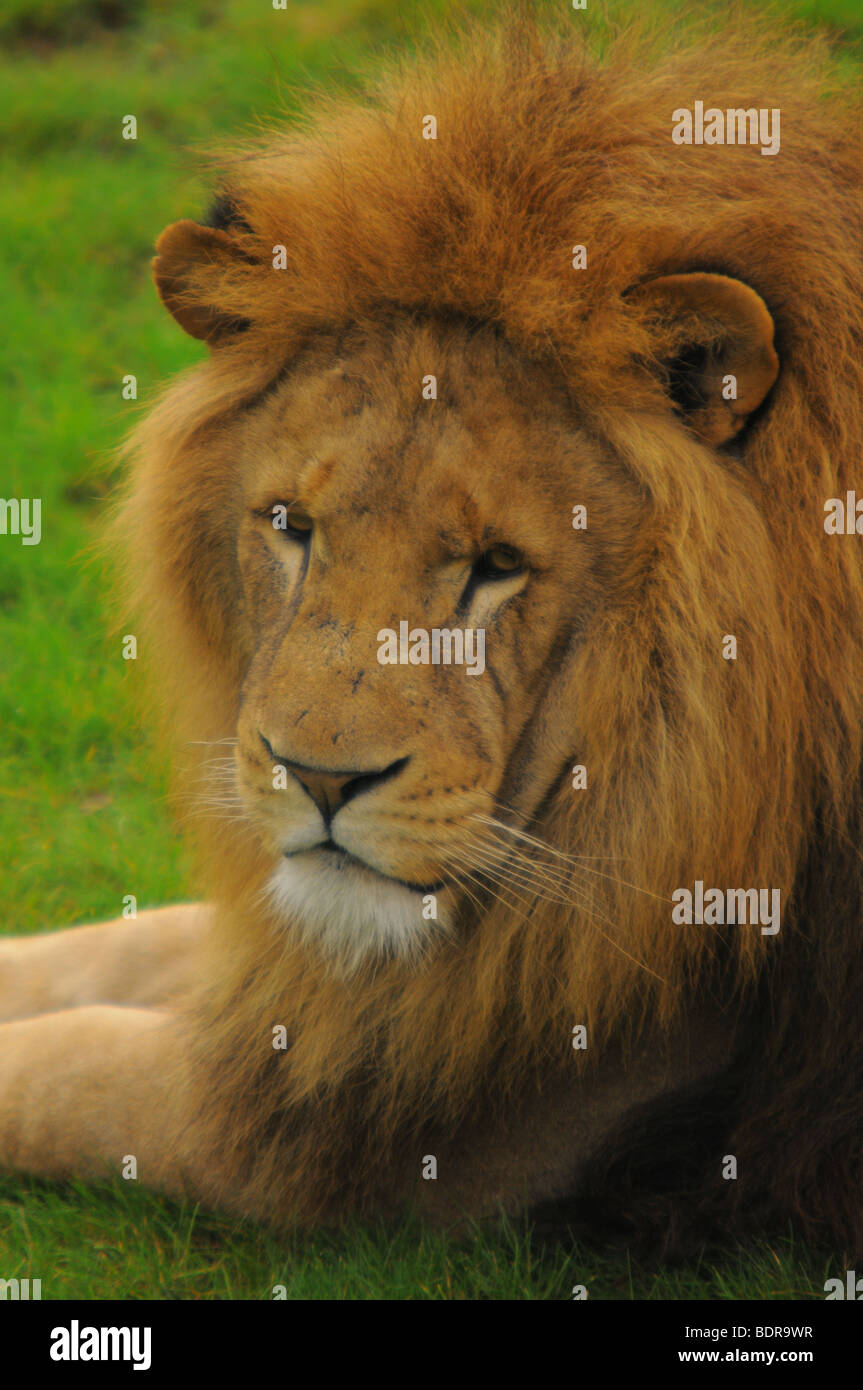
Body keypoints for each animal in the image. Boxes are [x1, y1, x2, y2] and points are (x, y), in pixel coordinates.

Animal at [2, 12, 863, 1258]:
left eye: (495, 567)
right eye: (290, 526)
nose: (318, 779)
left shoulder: (373, 1141)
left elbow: (62, 1068)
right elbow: (117, 944)